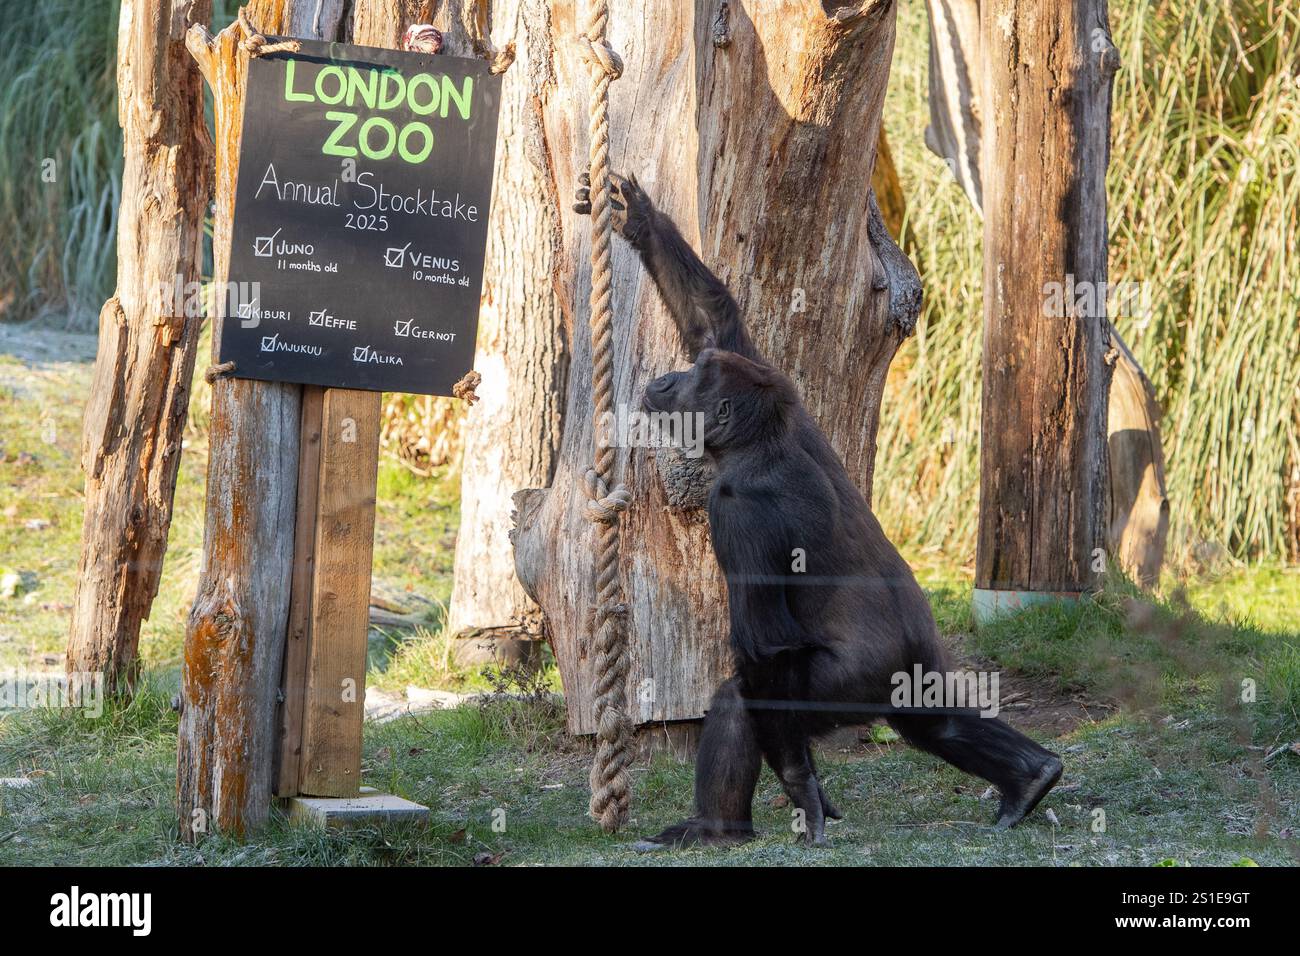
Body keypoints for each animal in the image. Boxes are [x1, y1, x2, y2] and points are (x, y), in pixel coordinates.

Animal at [574, 172, 1063, 848]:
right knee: (932, 720)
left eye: (697, 380)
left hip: (846, 685)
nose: (669, 380)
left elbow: (765, 650)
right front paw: (636, 217)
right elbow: (715, 317)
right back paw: (1029, 776)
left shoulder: (736, 513)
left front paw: (801, 784)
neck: (756, 445)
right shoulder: (785, 392)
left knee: (743, 695)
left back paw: (717, 827)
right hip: (918, 666)